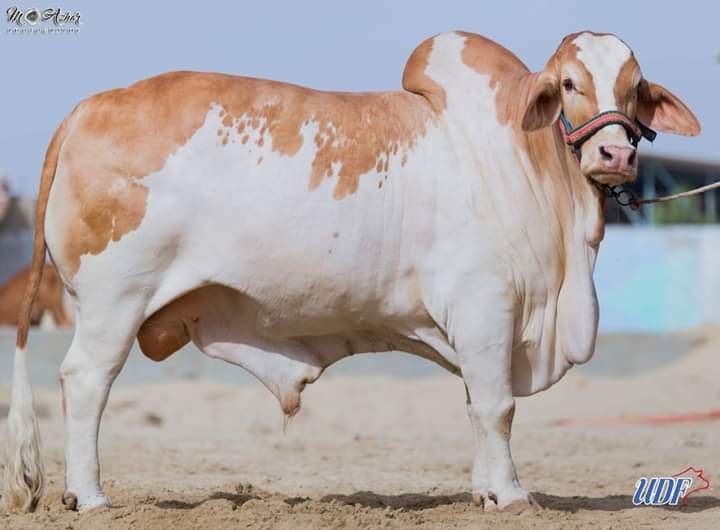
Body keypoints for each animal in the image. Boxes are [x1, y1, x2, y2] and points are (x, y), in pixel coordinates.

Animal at [3, 30, 699, 514]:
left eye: (636, 88)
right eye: (571, 83)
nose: (615, 154)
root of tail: (92, 106)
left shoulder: (481, 332)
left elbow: (477, 406)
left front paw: (482, 492)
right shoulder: (485, 309)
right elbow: (498, 407)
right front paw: (511, 494)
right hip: (114, 301)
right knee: (86, 382)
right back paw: (90, 496)